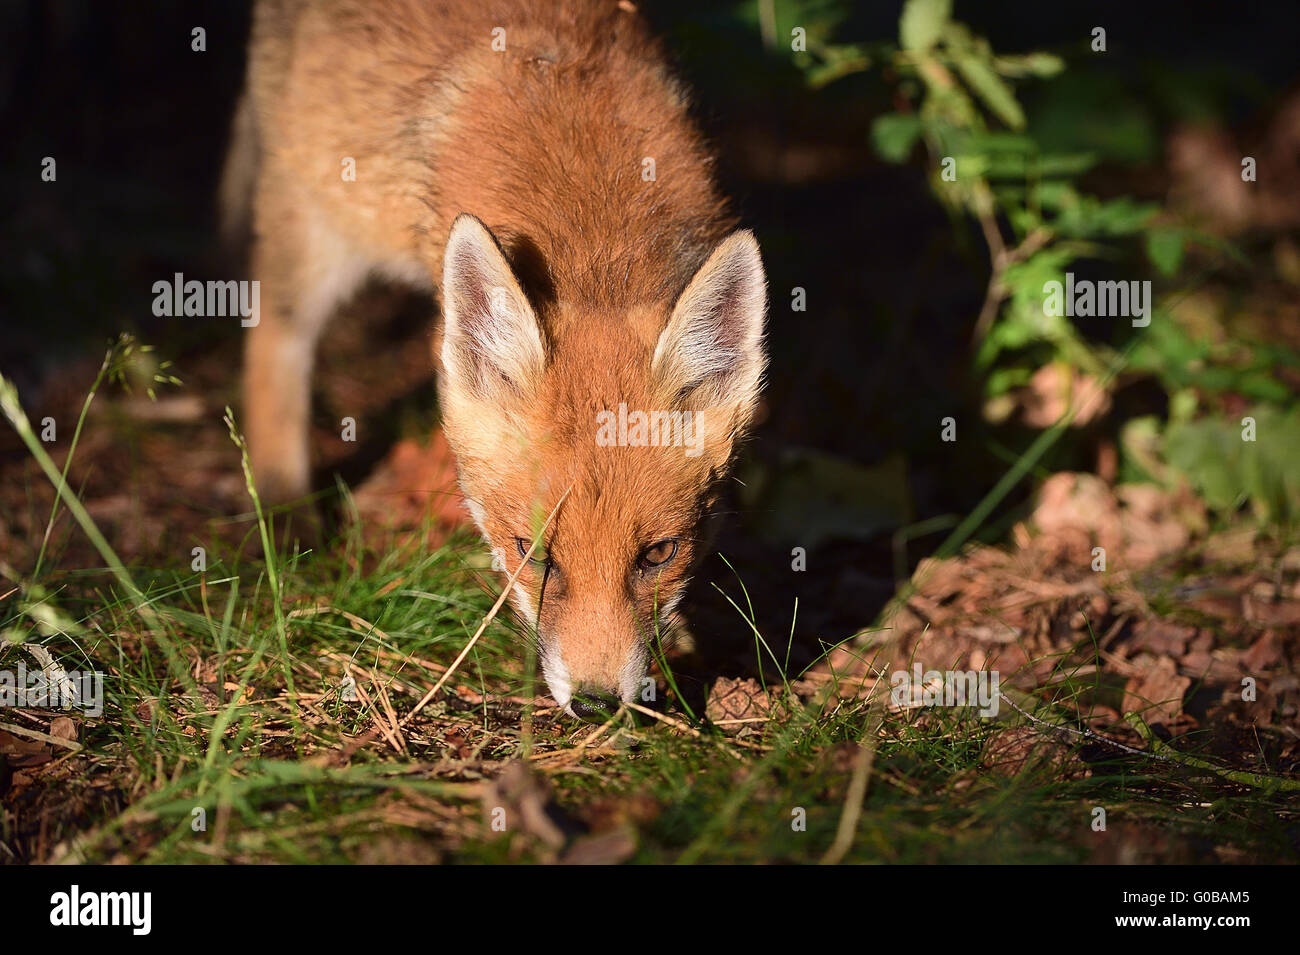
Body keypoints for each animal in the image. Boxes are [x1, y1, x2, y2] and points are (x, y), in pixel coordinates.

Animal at [229, 0, 768, 719]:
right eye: (532, 553)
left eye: (659, 553)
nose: (596, 703)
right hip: (314, 217)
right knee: (274, 341)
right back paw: (282, 513)